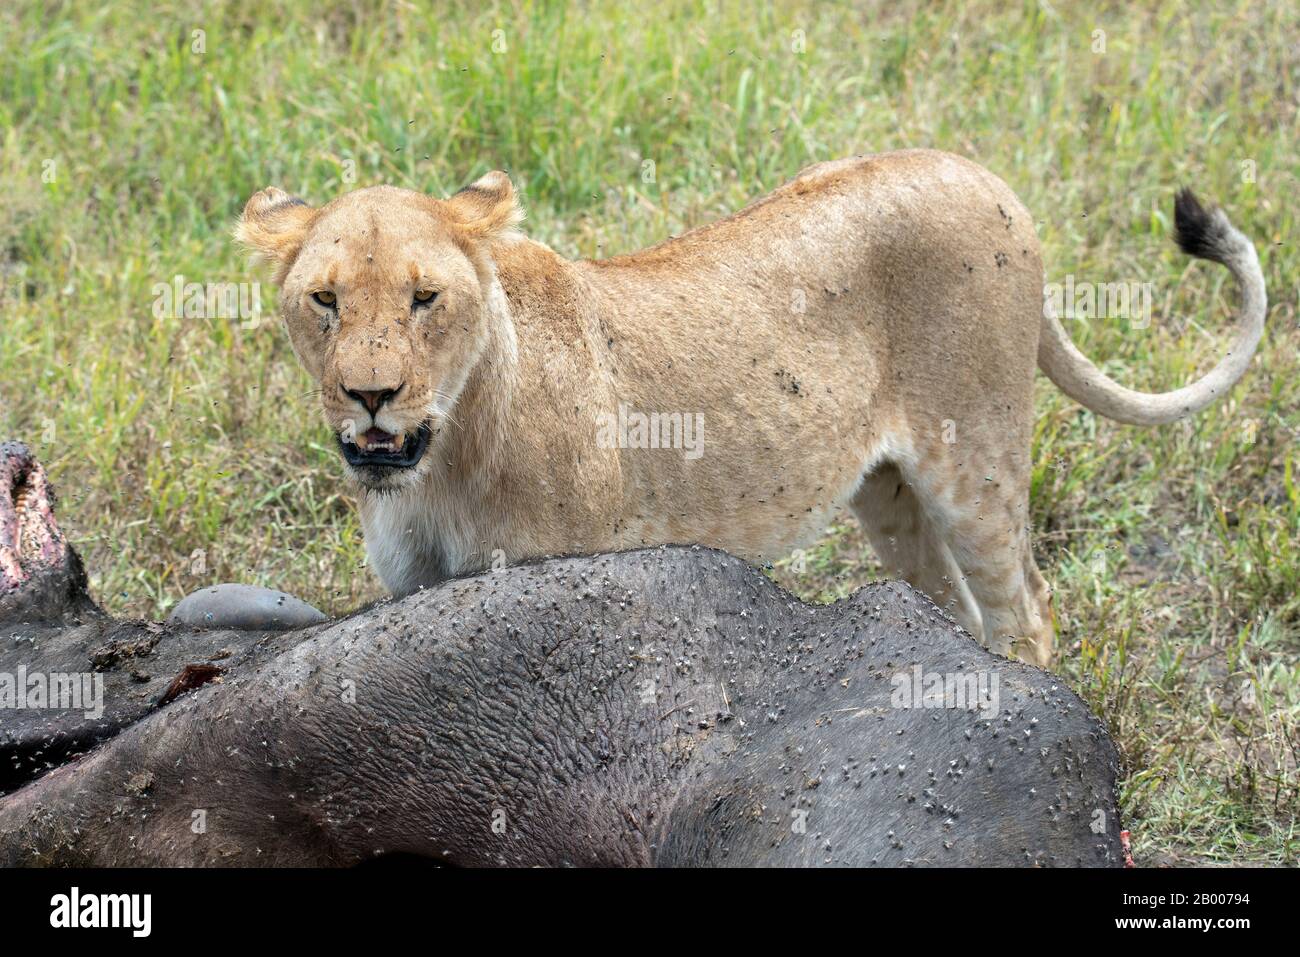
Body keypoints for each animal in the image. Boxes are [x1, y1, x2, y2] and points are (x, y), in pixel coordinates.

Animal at [236, 150, 1266, 666]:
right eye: (325, 300)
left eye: (424, 298)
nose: (372, 396)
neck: (435, 466)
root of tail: (981, 169)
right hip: (887, 492)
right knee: (950, 609)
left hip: (974, 458)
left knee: (1026, 616)